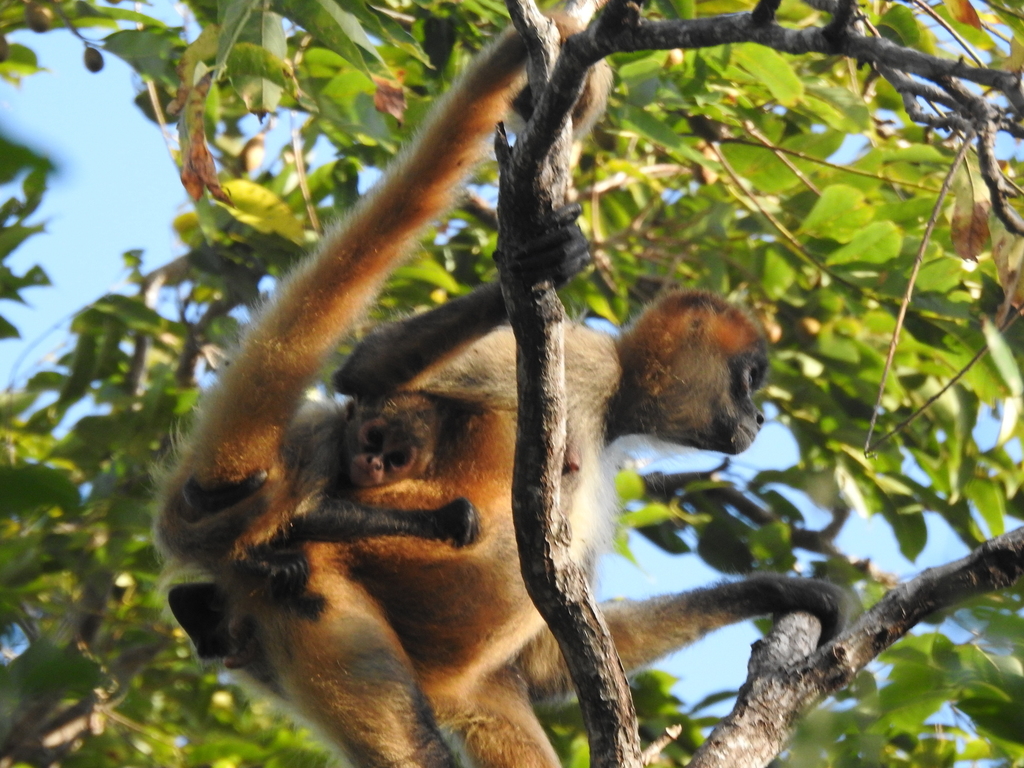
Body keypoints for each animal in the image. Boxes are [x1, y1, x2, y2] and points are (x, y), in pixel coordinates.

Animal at [157, 14, 847, 768]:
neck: (611, 414)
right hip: (323, 592)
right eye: (748, 381)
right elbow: (363, 372)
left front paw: (779, 588)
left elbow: (545, 662)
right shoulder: (586, 362)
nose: (756, 418)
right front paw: (528, 269)